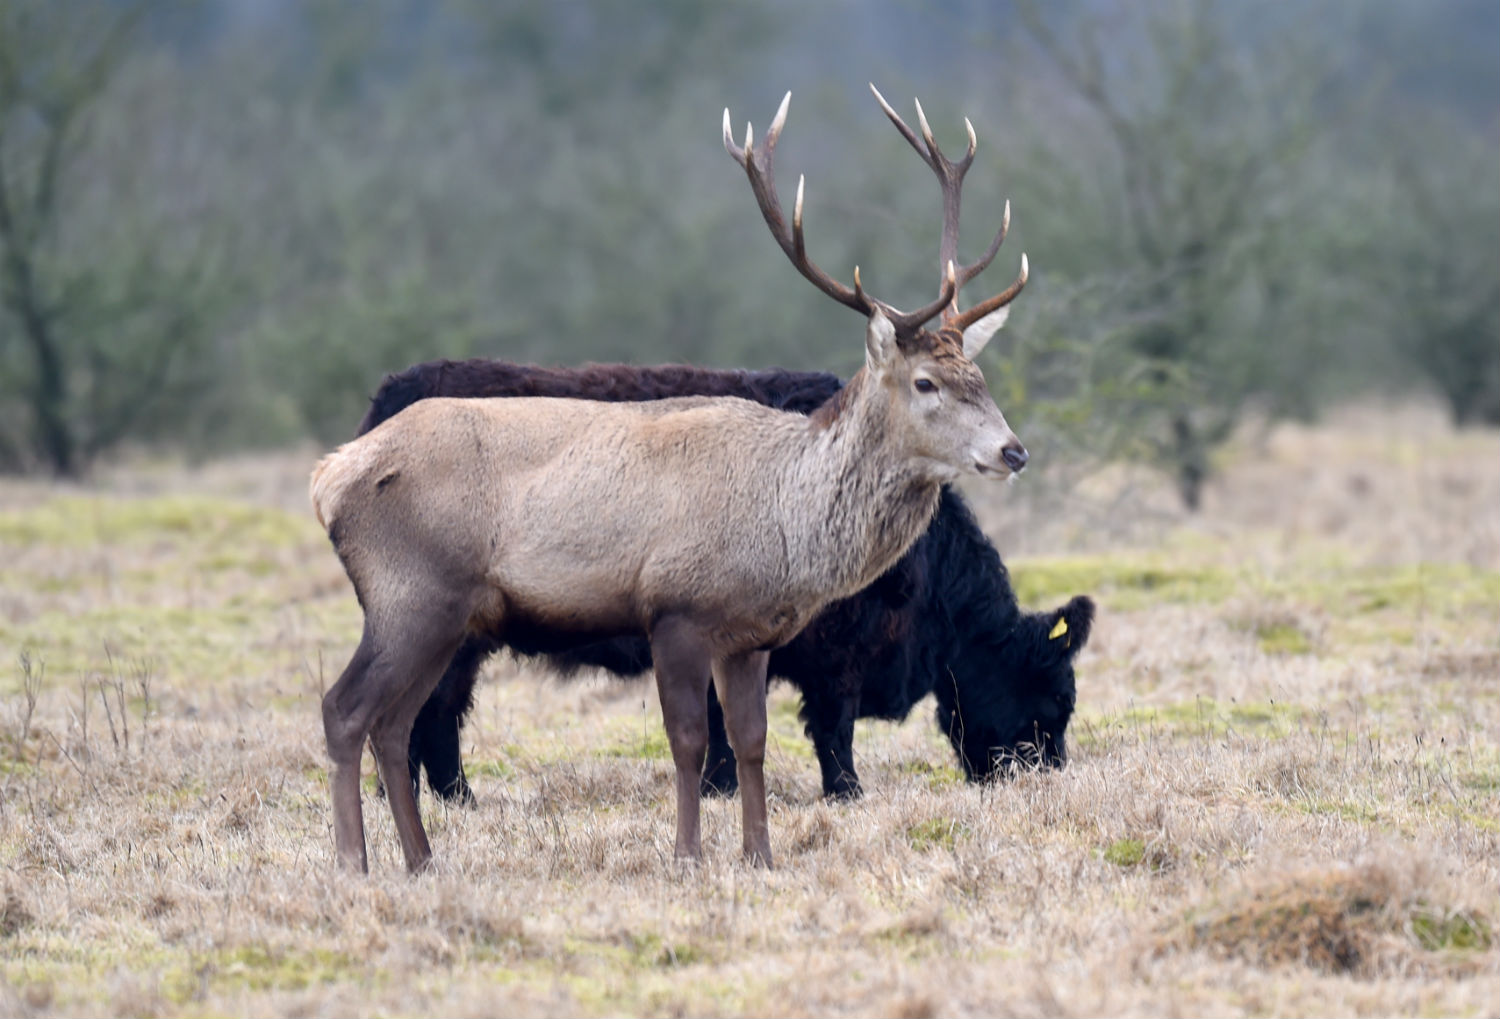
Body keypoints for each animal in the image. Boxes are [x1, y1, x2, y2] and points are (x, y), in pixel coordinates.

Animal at [309, 84, 1030, 874]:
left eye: (980, 377)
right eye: (926, 381)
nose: (1012, 450)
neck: (782, 524)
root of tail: (329, 476)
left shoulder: (751, 634)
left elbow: (751, 742)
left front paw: (759, 855)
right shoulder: (675, 608)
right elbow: (689, 742)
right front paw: (687, 856)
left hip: (447, 614)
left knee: (393, 722)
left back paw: (421, 859)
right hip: (408, 592)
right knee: (346, 709)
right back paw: (353, 861)